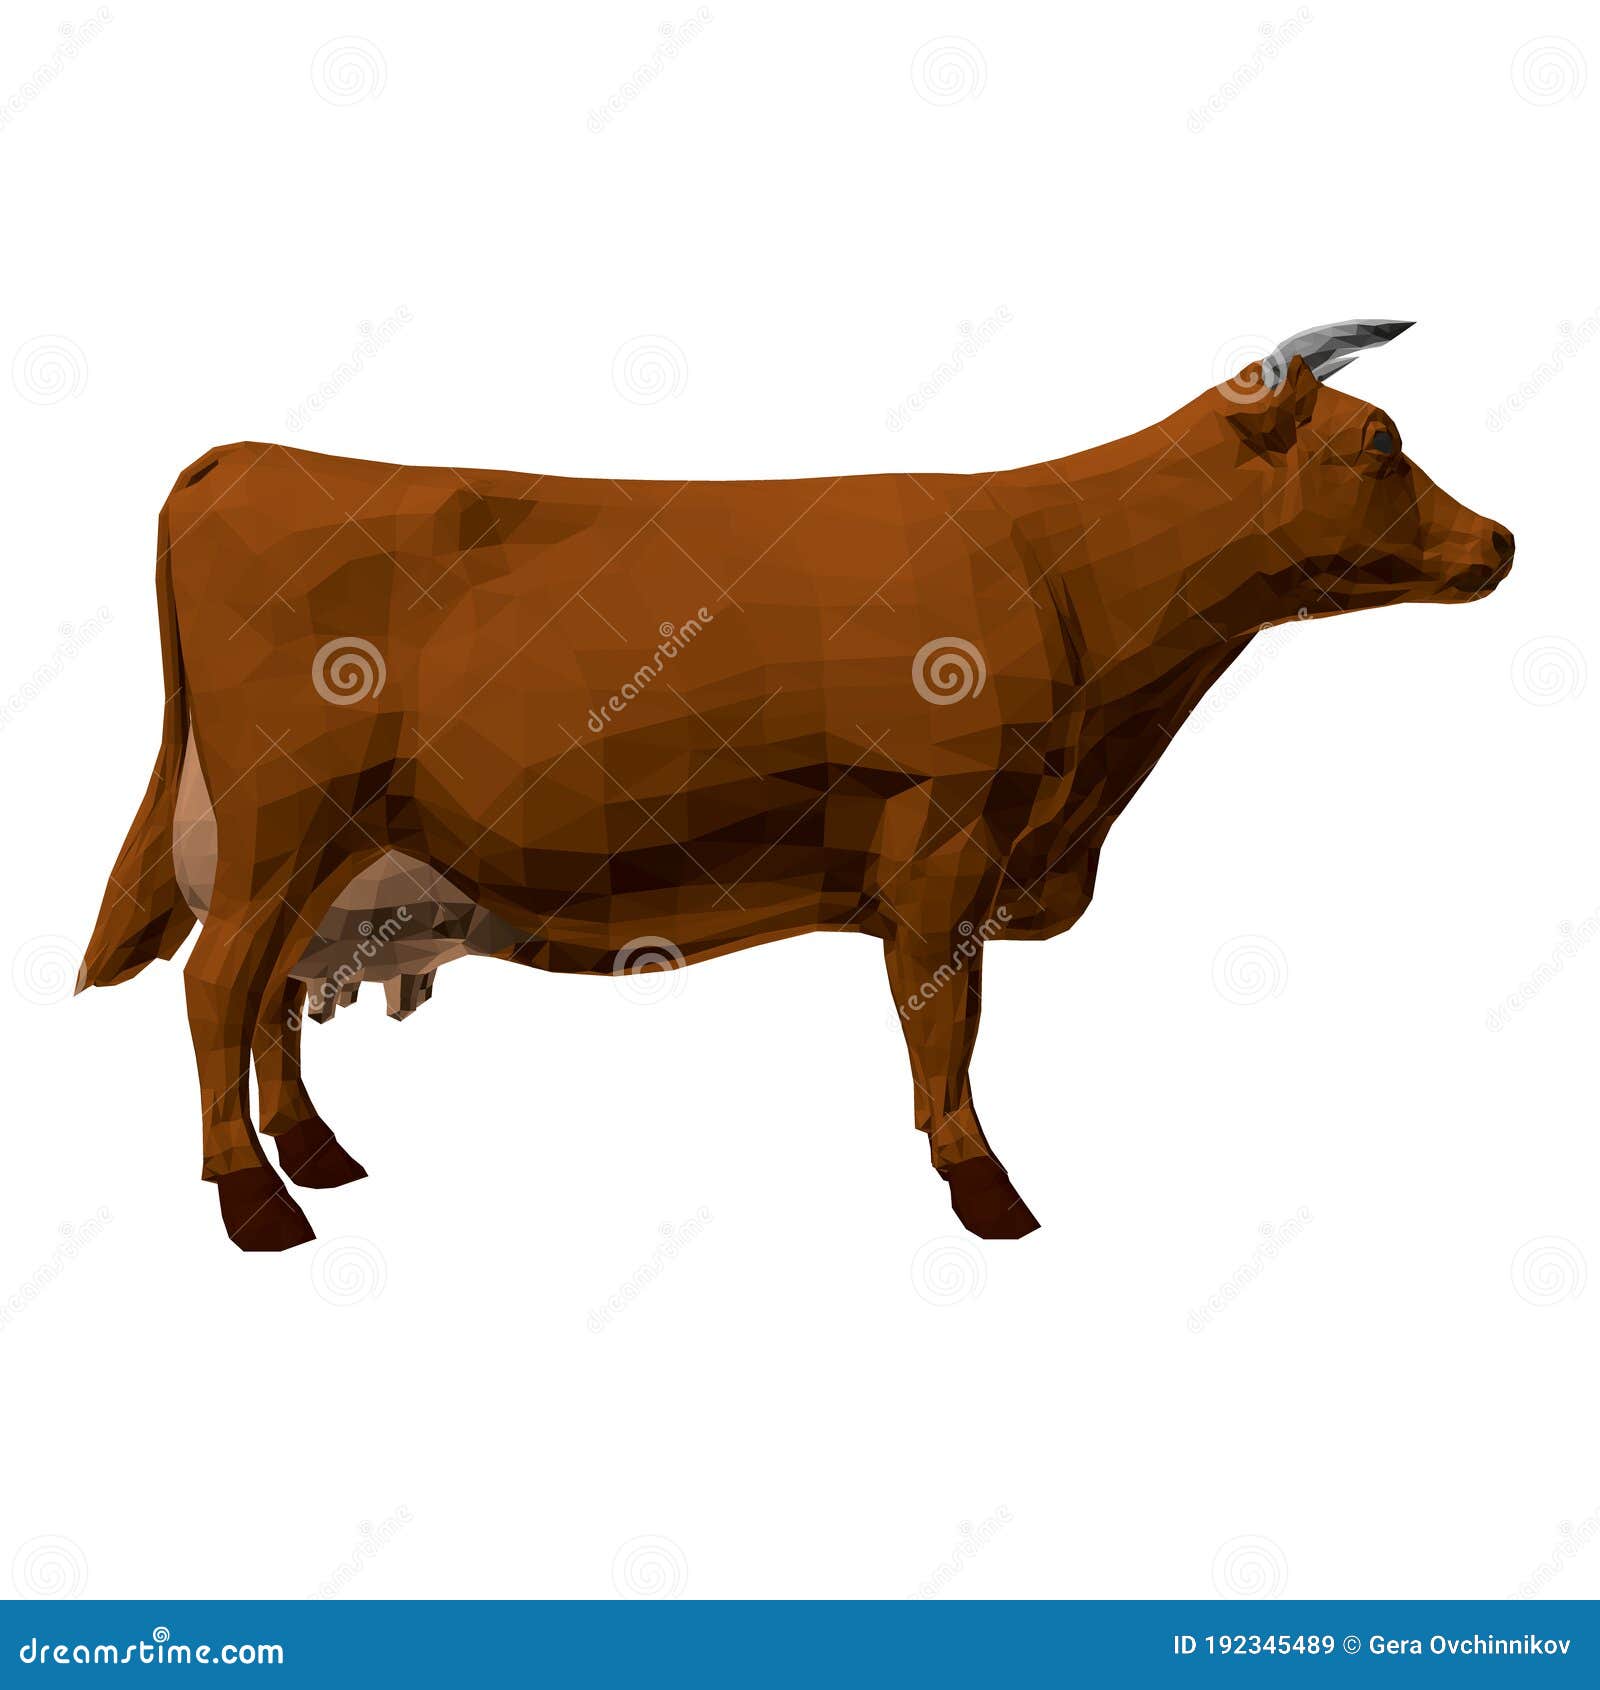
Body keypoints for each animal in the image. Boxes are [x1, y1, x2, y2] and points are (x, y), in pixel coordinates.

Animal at [78, 320, 1513, 1251]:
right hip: (278, 813)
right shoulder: (947, 822)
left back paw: (316, 1153)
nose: (1503, 539)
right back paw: (256, 1203)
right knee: (220, 982)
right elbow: (944, 1019)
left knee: (271, 991)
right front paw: (980, 1180)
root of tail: (240, 456)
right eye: (1378, 442)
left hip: (322, 842)